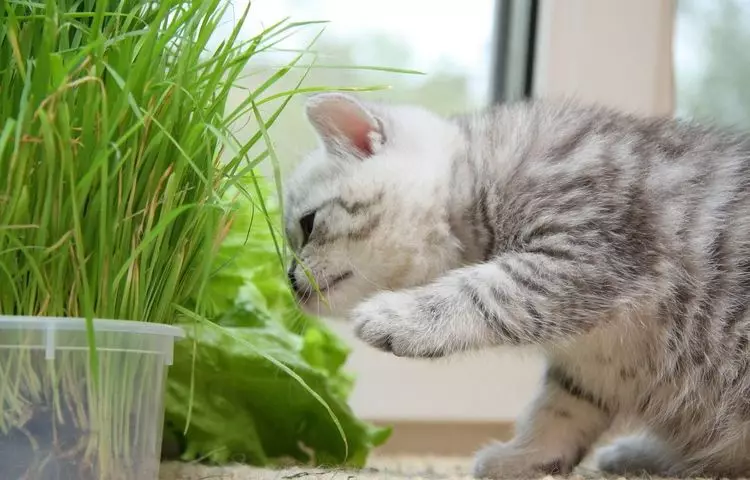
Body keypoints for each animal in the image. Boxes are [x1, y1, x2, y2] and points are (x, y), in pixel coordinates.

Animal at [282, 92, 750, 478]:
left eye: (307, 225)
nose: (289, 281)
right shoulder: (596, 359)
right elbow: (561, 410)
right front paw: (527, 457)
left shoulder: (587, 255)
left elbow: (485, 290)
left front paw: (398, 317)